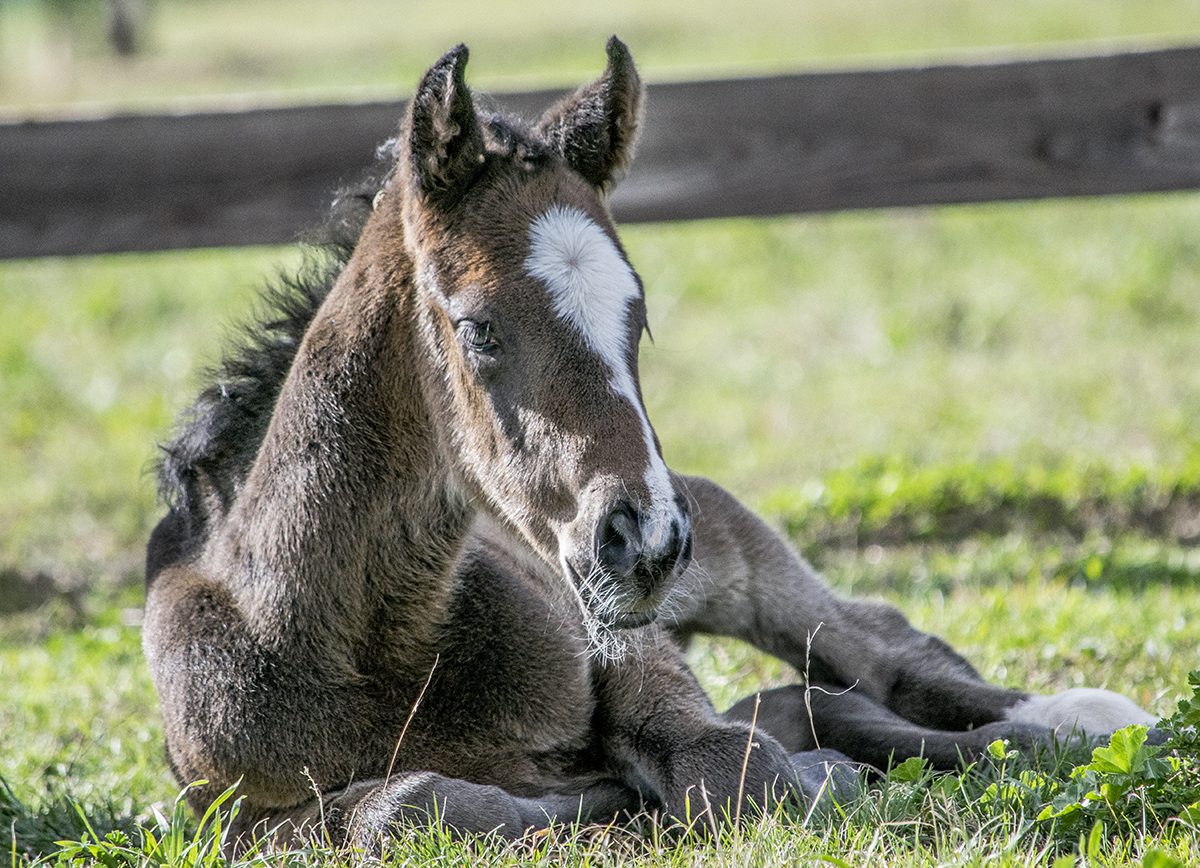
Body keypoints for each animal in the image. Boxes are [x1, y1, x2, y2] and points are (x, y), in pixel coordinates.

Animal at [143, 38, 1156, 850]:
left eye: (638, 319)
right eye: (477, 329)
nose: (647, 541)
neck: (365, 644)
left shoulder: (633, 648)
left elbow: (738, 769)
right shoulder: (234, 813)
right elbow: (405, 804)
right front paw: (584, 799)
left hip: (738, 565)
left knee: (875, 649)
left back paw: (1084, 715)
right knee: (816, 691)